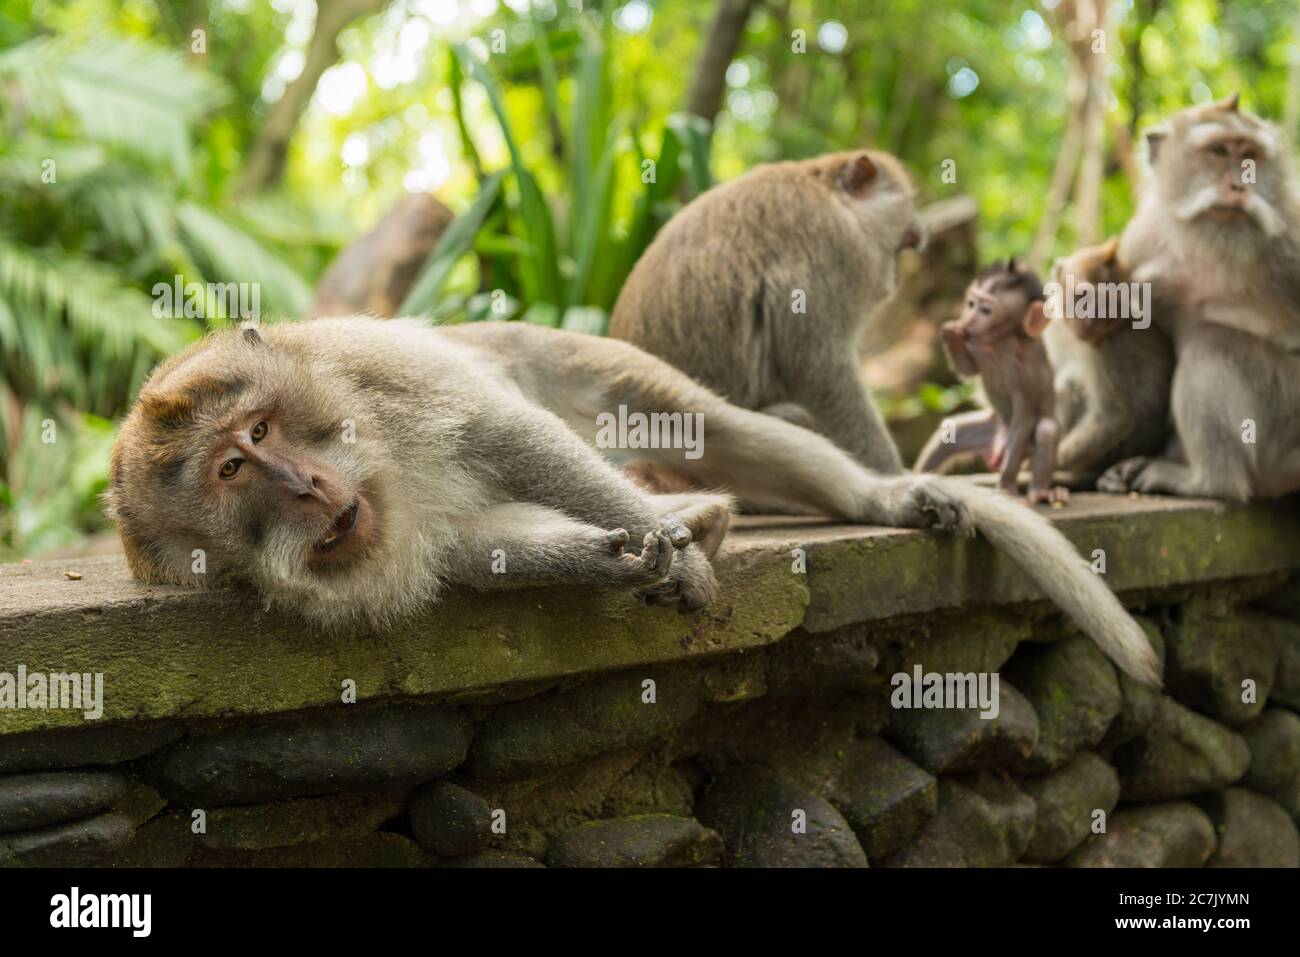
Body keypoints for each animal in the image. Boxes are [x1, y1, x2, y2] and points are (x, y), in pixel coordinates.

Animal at [108, 317, 1160, 686]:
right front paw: (614, 557)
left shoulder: (374, 366)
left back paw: (874, 495)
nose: (305, 484)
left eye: (264, 428)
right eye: (232, 472)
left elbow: (499, 430)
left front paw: (675, 556)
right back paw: (705, 514)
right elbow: (480, 542)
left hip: (585, 361)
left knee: (711, 423)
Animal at [914, 260, 1069, 505]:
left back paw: (1041, 491)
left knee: (1046, 430)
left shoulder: (1026, 369)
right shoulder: (976, 345)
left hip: (1025, 447)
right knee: (948, 433)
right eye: (971, 303)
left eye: (986, 310)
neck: (999, 343)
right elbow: (969, 369)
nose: (968, 320)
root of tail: (995, 446)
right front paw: (951, 334)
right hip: (990, 428)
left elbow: (1025, 416)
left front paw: (1005, 486)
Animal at [1040, 237, 1175, 475]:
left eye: (1109, 305)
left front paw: (1049, 459)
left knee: (1068, 386)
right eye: (1083, 296)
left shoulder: (1108, 348)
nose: (1090, 321)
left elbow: (1114, 417)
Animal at [1089, 94, 1300, 500]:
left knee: (1210, 344)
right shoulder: (1139, 248)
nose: (1239, 185)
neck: (1216, 254)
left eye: (1250, 155)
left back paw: (1208, 482)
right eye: (1218, 151)